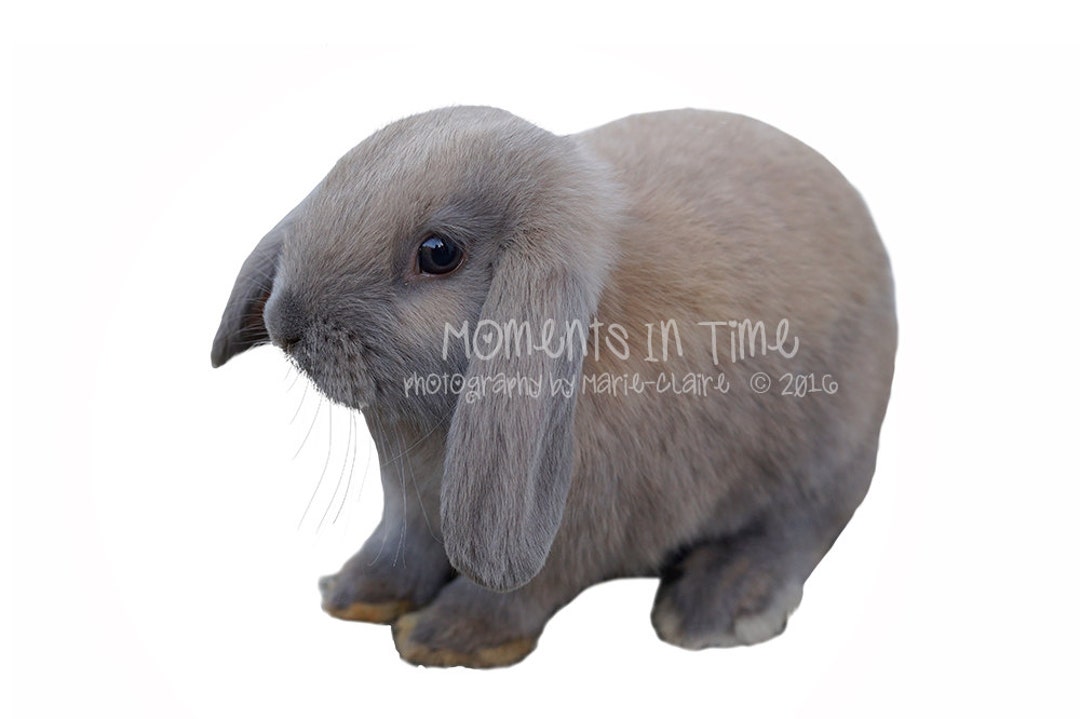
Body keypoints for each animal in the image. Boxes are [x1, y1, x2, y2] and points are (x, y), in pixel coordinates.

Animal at [211, 106, 896, 668]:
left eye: (439, 252)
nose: (285, 321)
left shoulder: (578, 524)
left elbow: (526, 588)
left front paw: (445, 638)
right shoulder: (411, 508)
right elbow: (399, 548)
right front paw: (354, 594)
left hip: (826, 457)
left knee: (802, 526)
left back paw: (715, 608)